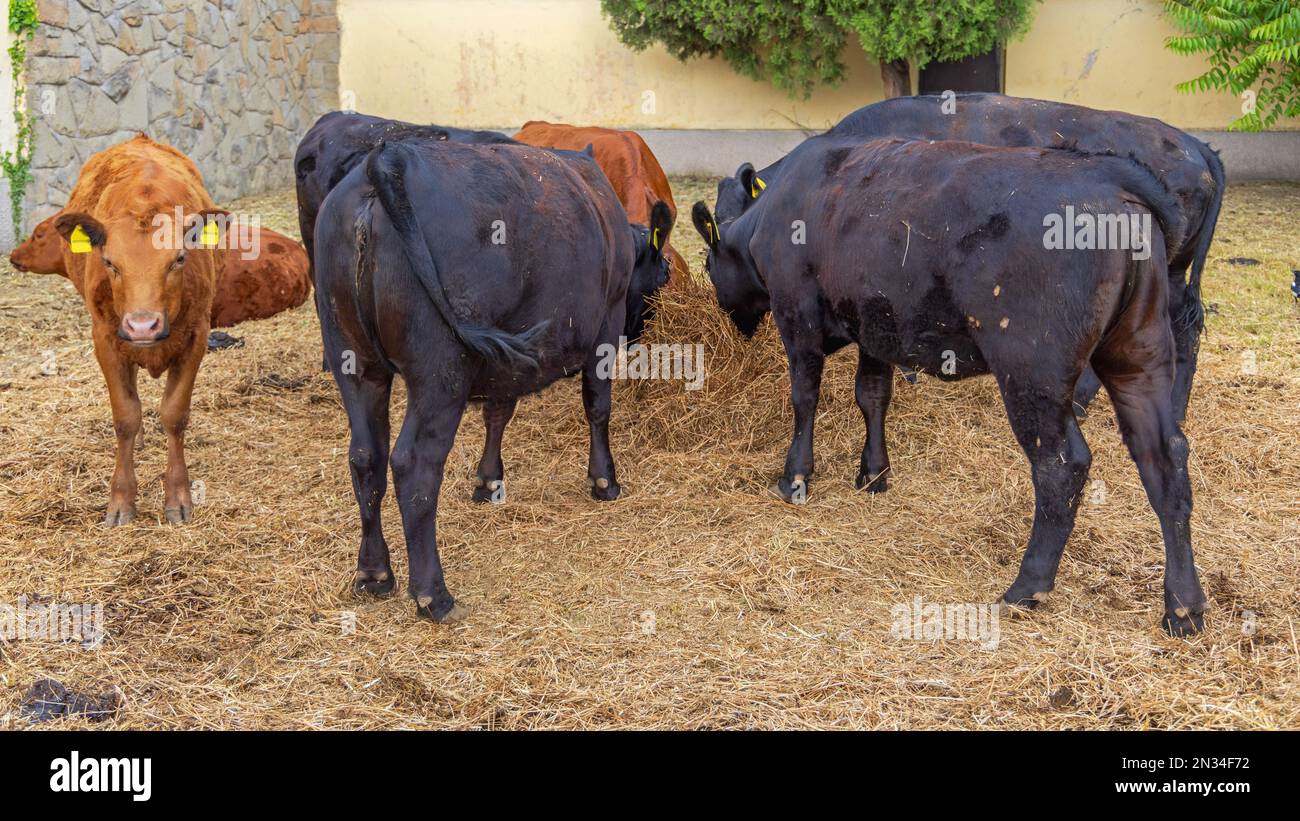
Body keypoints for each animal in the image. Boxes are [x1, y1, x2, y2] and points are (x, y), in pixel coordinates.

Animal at [53, 134, 224, 526]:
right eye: (109, 262)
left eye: (179, 258)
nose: (142, 325)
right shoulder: (105, 339)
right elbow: (126, 416)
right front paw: (121, 499)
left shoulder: (197, 337)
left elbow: (174, 414)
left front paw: (177, 495)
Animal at [314, 139, 671, 623]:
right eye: (664, 273)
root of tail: (386, 159)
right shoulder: (605, 327)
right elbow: (597, 406)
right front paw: (604, 481)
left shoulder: (508, 352)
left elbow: (498, 411)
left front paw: (488, 482)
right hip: (439, 369)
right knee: (413, 463)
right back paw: (433, 594)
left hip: (354, 360)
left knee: (366, 456)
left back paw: (374, 573)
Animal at [691, 137, 1207, 635]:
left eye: (708, 263)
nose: (726, 315)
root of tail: (1107, 173)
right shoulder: (875, 324)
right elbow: (872, 395)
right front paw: (874, 474)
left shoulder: (796, 314)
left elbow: (804, 397)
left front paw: (795, 477)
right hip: (1138, 357)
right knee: (1164, 459)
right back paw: (1183, 607)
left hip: (1032, 371)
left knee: (1062, 467)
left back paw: (1028, 586)